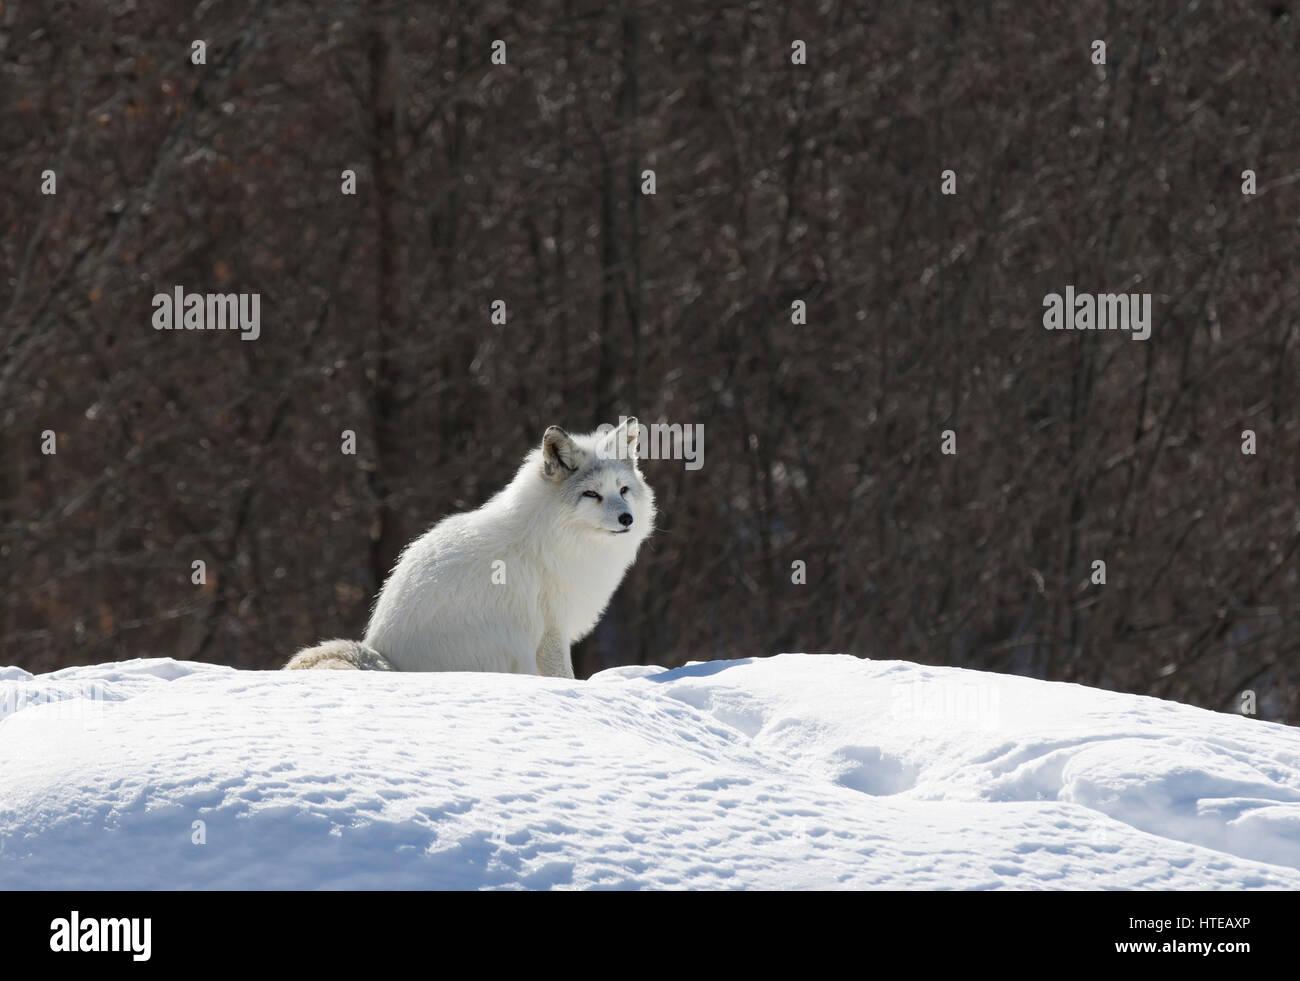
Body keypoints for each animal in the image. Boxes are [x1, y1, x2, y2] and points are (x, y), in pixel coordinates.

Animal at [284, 417, 654, 678]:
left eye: (623, 489)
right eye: (591, 494)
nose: (627, 518)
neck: (557, 538)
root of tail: (386, 657)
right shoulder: (551, 633)